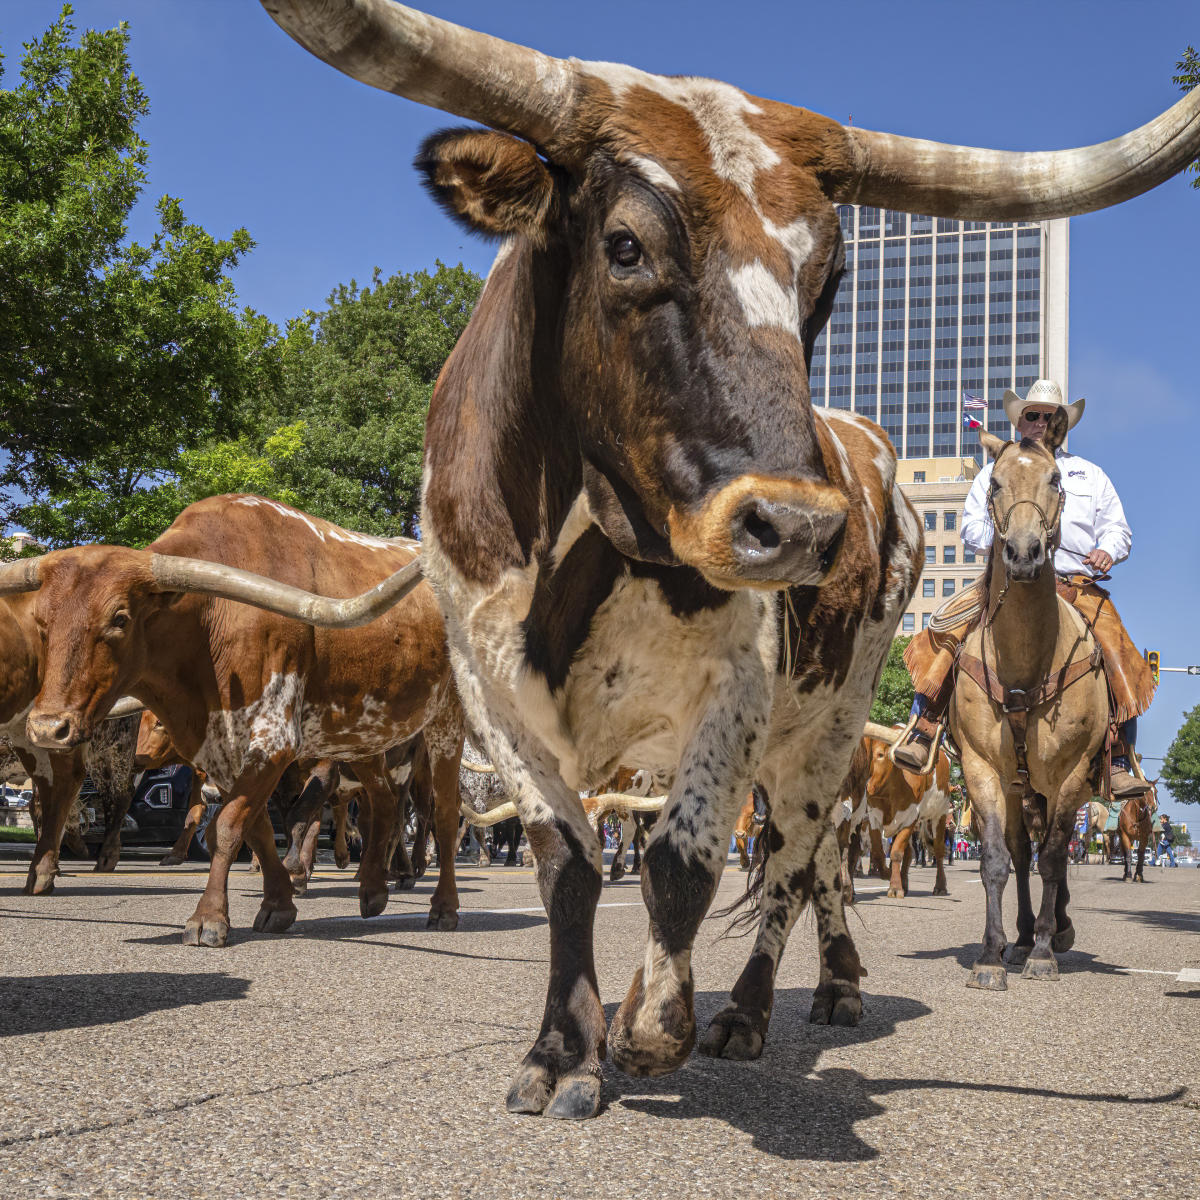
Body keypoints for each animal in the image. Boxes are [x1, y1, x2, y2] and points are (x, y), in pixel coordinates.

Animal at [6, 494, 466, 945]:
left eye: (119, 619)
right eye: (42, 624)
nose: (47, 728)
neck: (208, 621)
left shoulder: (274, 739)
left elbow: (228, 825)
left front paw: (209, 918)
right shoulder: (220, 751)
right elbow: (255, 826)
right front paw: (279, 904)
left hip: (446, 721)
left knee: (443, 814)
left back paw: (443, 907)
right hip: (361, 731)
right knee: (383, 801)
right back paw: (372, 890)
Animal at [863, 738, 953, 898]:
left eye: (880, 755)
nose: (866, 786)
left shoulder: (910, 818)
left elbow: (896, 852)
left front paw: (895, 888)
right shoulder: (874, 817)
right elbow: (878, 851)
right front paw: (888, 875)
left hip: (939, 815)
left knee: (938, 850)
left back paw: (940, 886)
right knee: (910, 852)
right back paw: (904, 883)